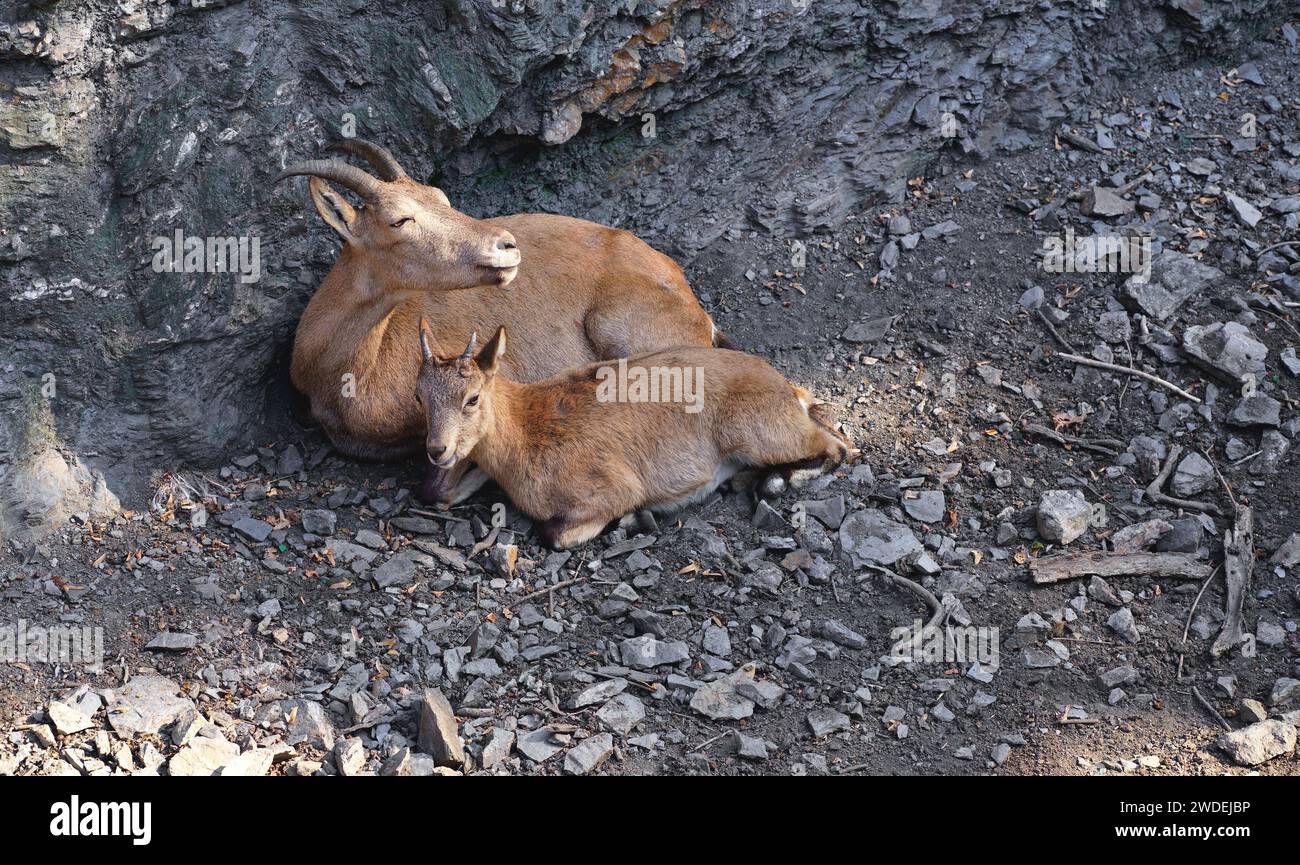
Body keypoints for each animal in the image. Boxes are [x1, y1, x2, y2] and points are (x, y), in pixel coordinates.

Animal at [415, 324, 852, 550]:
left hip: (756, 432)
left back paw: (777, 481)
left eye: (472, 398)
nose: (437, 450)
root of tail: (785, 387)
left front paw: (635, 519)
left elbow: (554, 533)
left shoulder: (612, 486)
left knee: (837, 446)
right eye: (420, 396)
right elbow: (445, 496)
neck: (526, 429)